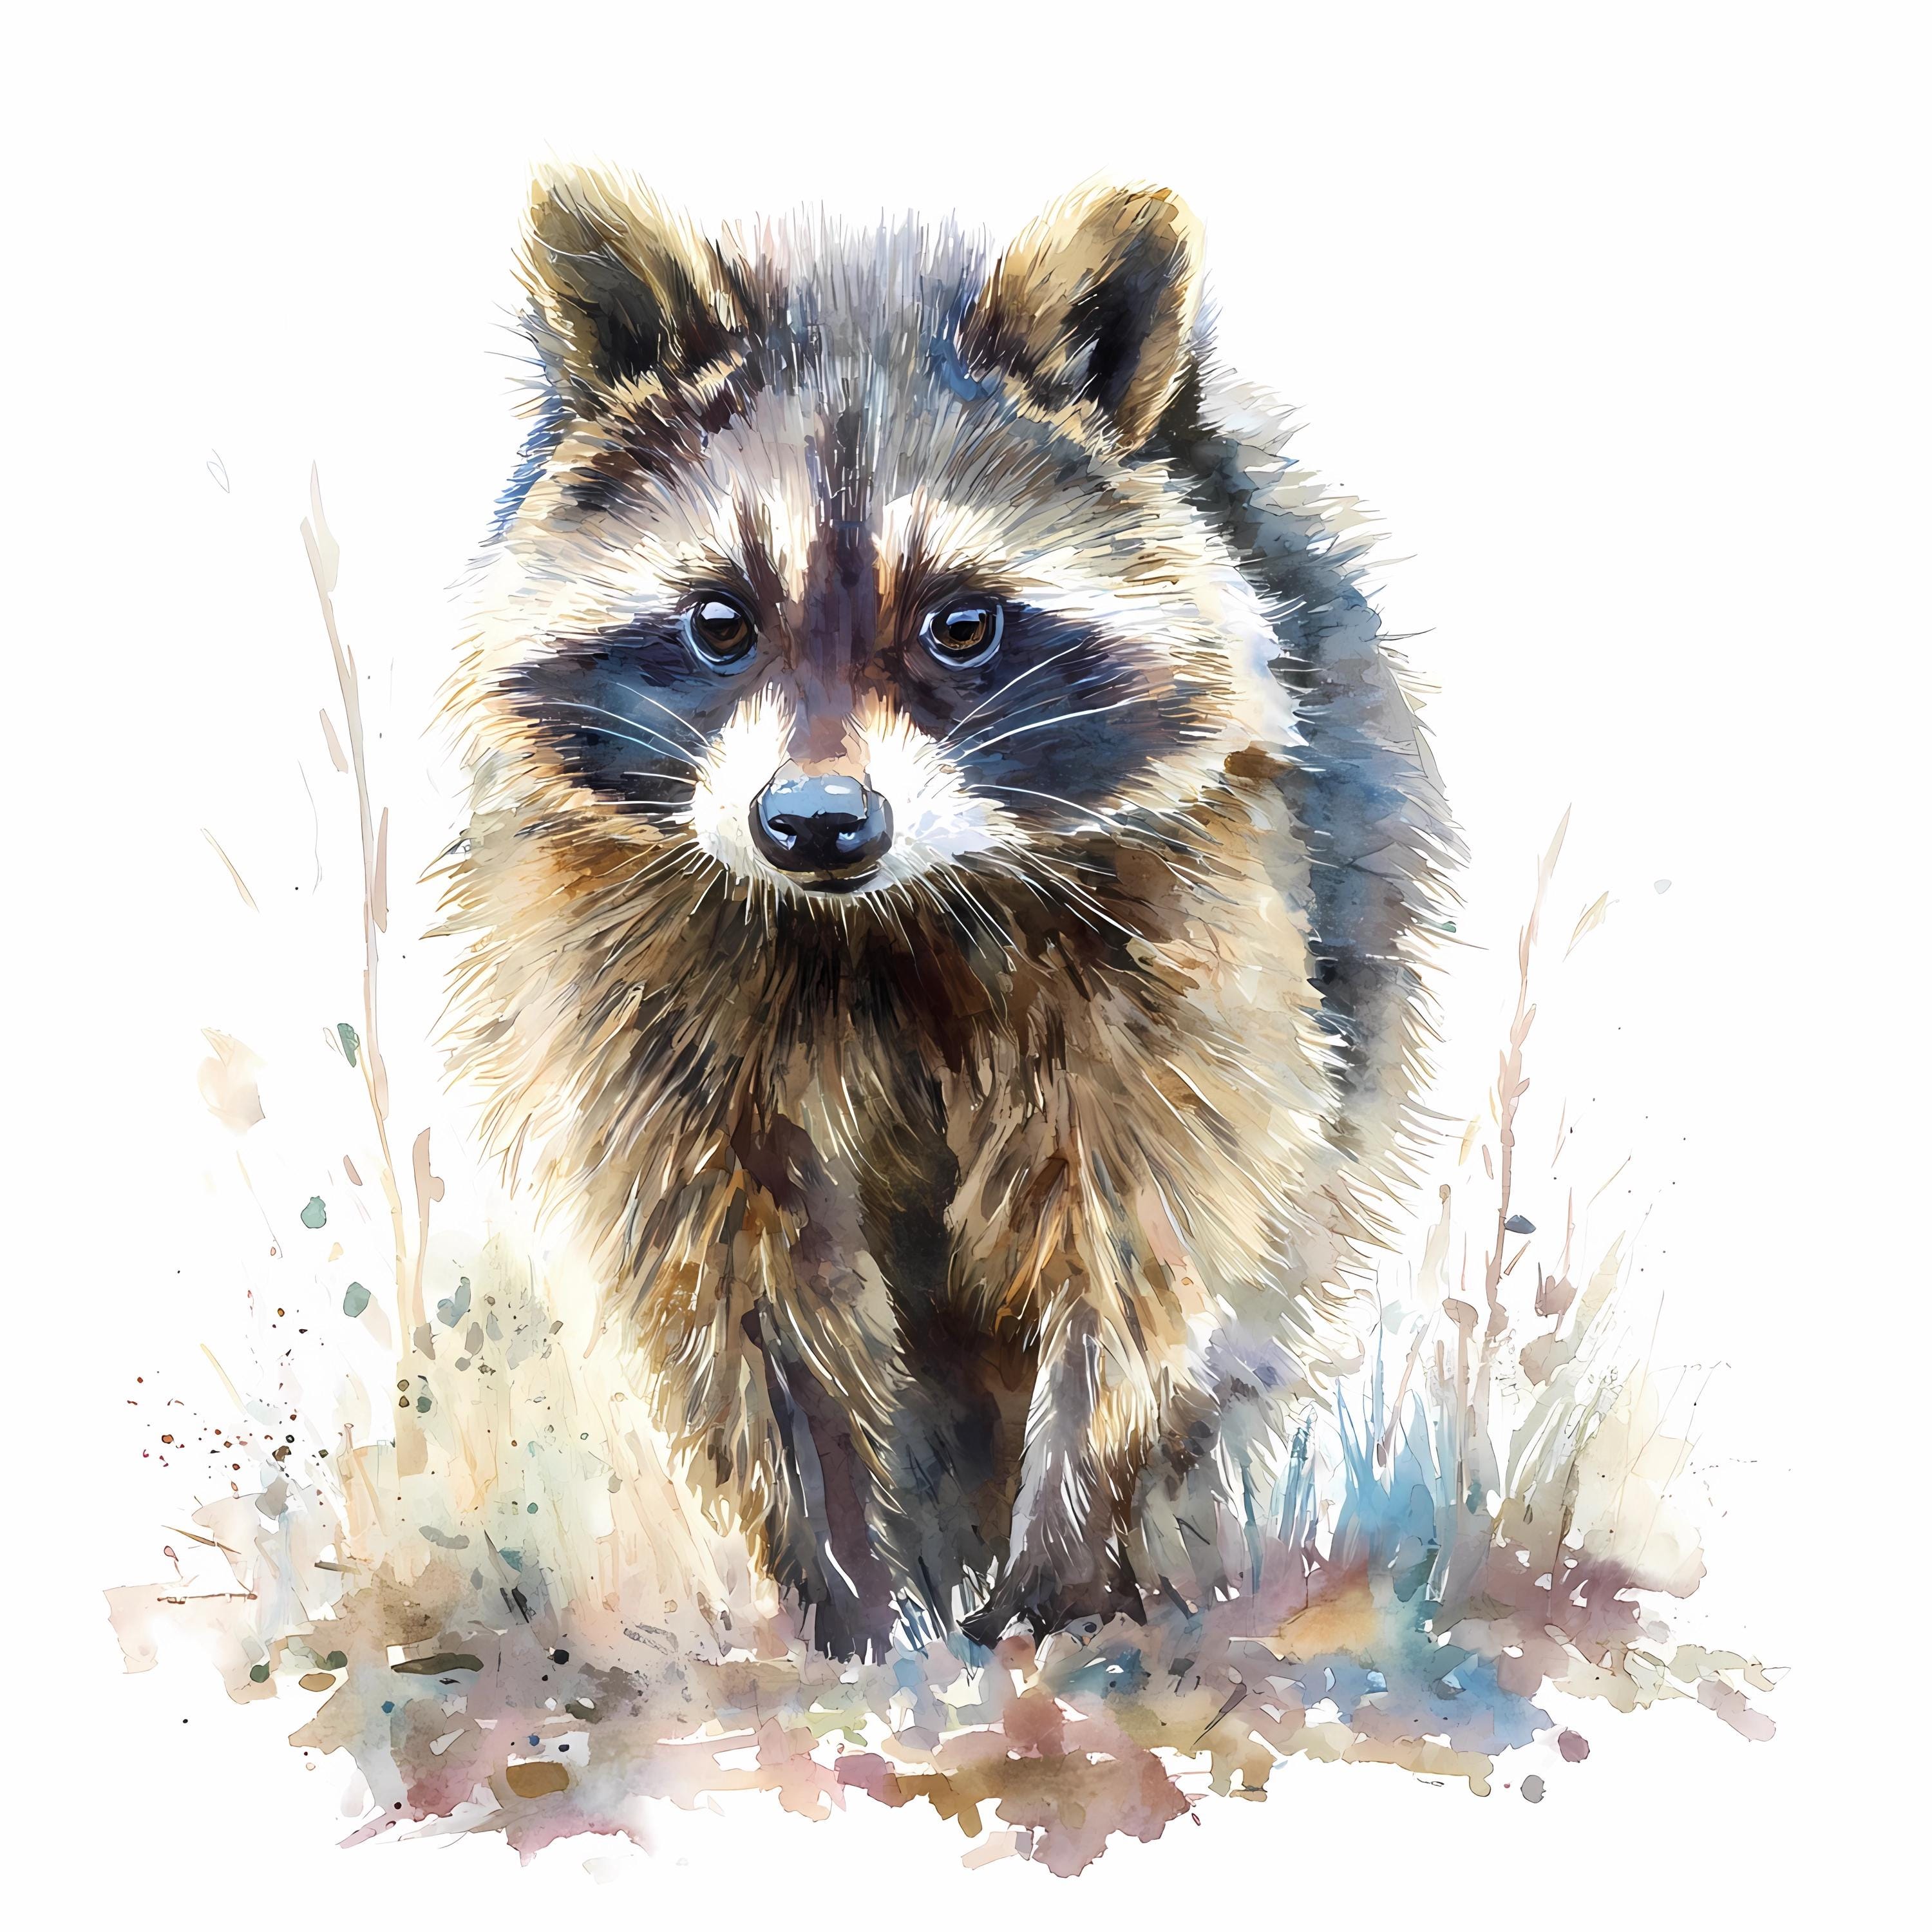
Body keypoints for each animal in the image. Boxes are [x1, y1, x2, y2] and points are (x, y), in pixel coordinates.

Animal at [440, 164, 1455, 1657]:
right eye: (720, 623)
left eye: (961, 626)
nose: (815, 825)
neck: (881, 916)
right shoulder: (642, 978)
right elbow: (741, 1284)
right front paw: (843, 1584)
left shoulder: (1201, 919)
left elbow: (1149, 1242)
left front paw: (1070, 1544)